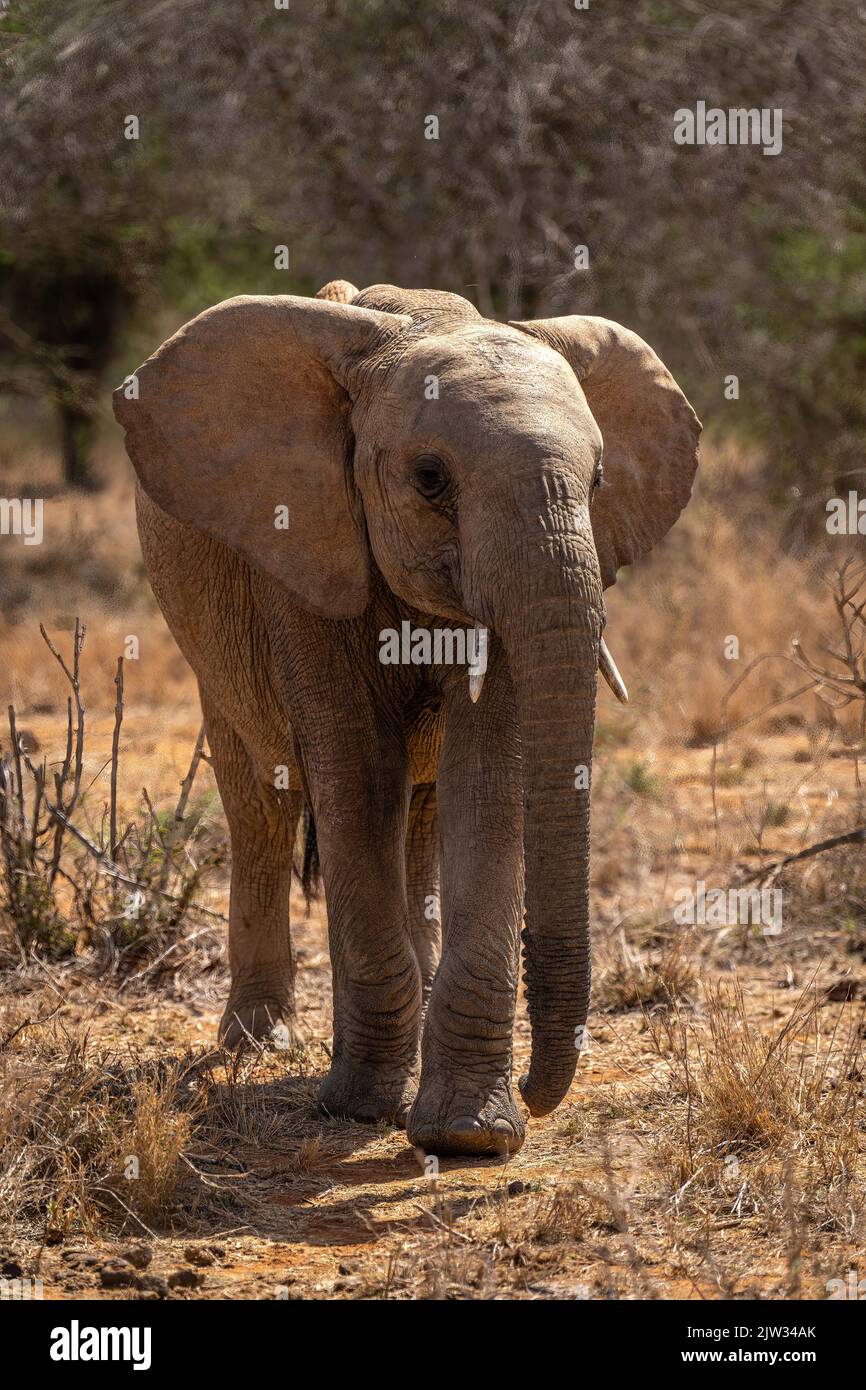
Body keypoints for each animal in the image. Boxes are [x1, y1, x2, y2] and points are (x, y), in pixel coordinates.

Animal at [113, 279, 700, 1157]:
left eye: (598, 482)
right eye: (430, 479)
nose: (541, 1092)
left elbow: (485, 780)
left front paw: (467, 1134)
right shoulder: (301, 546)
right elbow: (356, 773)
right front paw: (362, 1107)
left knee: (420, 814)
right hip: (208, 636)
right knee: (263, 802)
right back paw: (258, 1044)